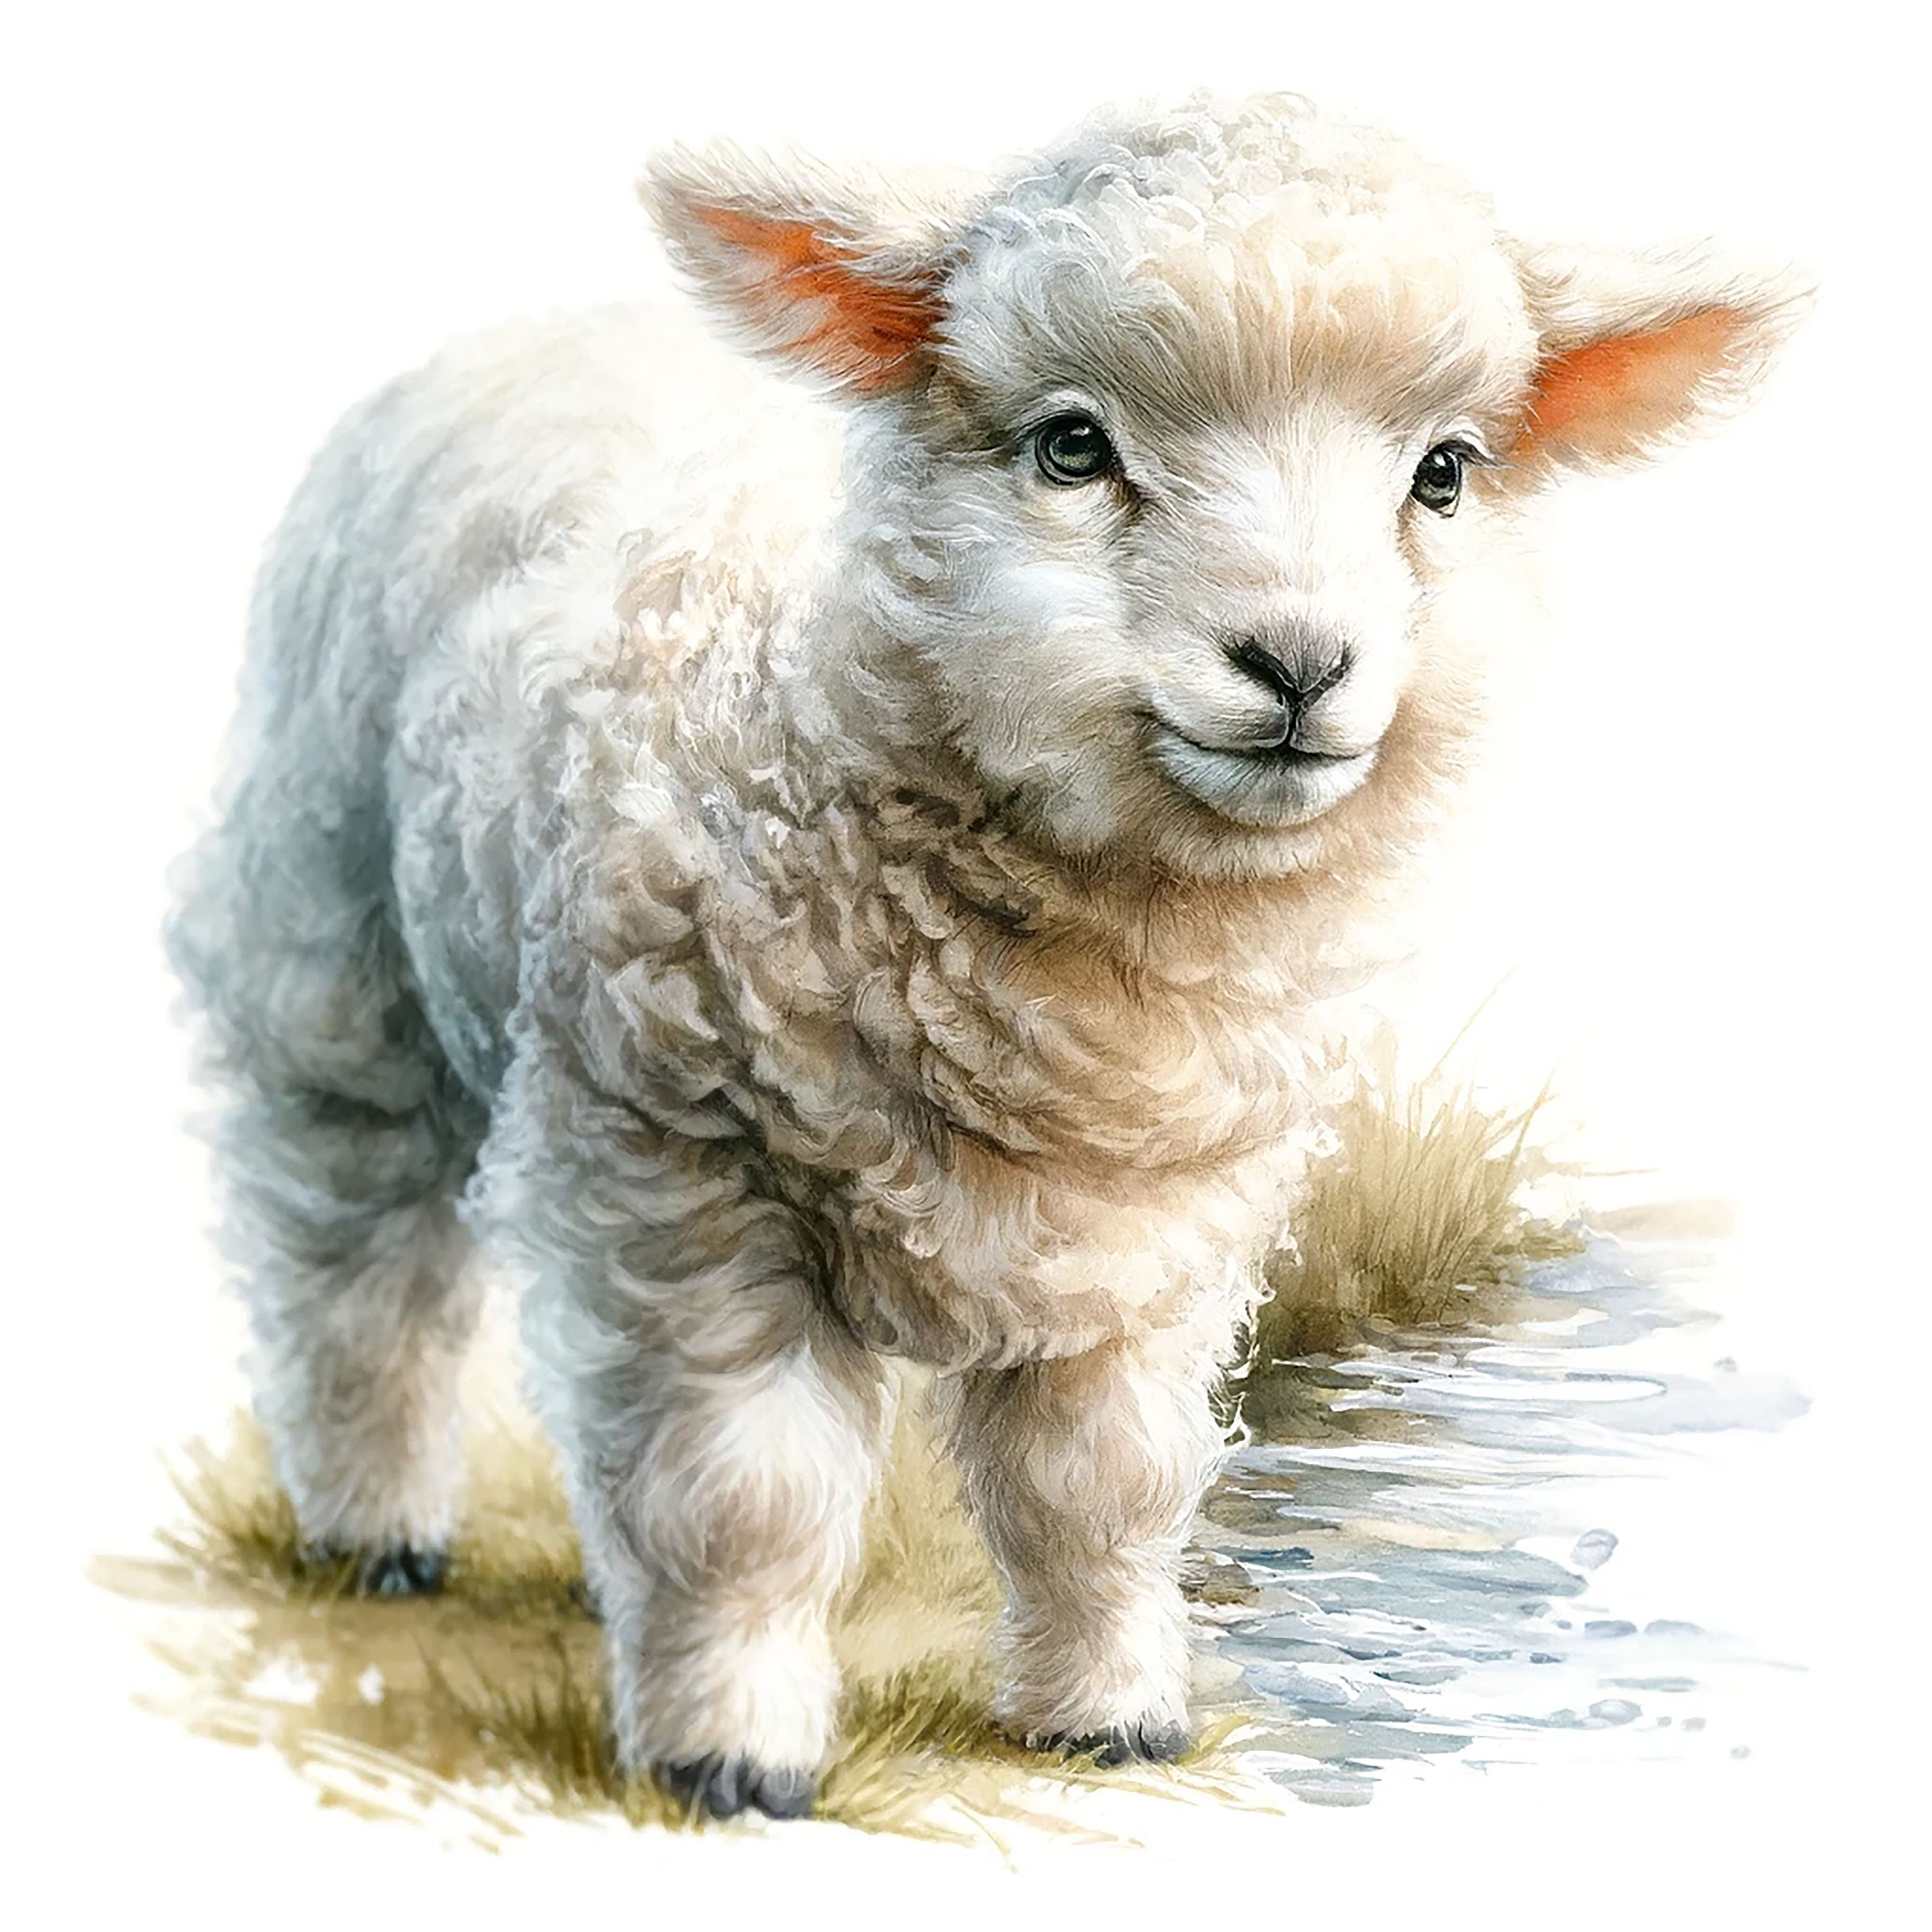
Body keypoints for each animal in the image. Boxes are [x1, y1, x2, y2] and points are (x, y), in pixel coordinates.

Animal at [168, 91, 1803, 1819]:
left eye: (1443, 473)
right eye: (1071, 446)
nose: (1298, 663)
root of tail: (555, 325)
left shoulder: (1151, 1242)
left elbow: (1106, 1490)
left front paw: (1110, 1712)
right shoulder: (678, 1171)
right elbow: (742, 1497)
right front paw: (731, 1750)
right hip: (330, 947)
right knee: (355, 1261)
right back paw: (373, 1521)